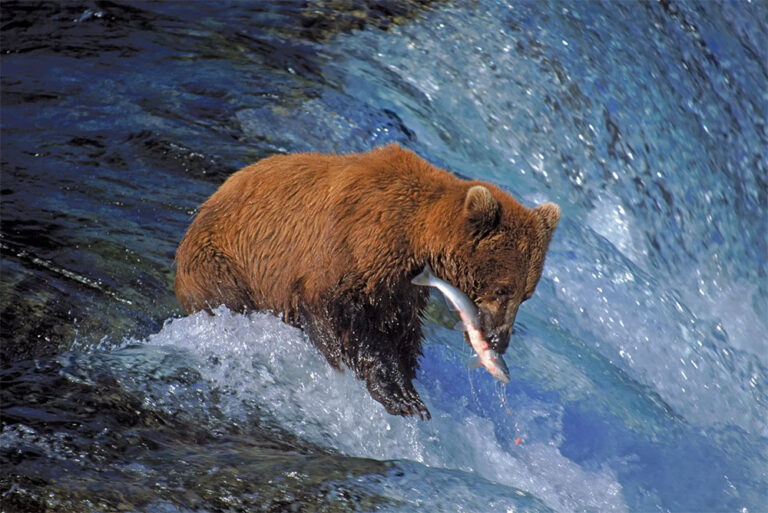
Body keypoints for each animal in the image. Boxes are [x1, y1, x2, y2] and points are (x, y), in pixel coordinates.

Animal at [174, 144, 560, 419]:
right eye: (502, 289)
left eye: (526, 295)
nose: (499, 340)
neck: (414, 238)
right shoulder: (349, 249)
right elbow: (341, 321)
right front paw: (402, 396)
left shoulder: (401, 289)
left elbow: (400, 331)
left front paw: (405, 383)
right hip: (223, 262)